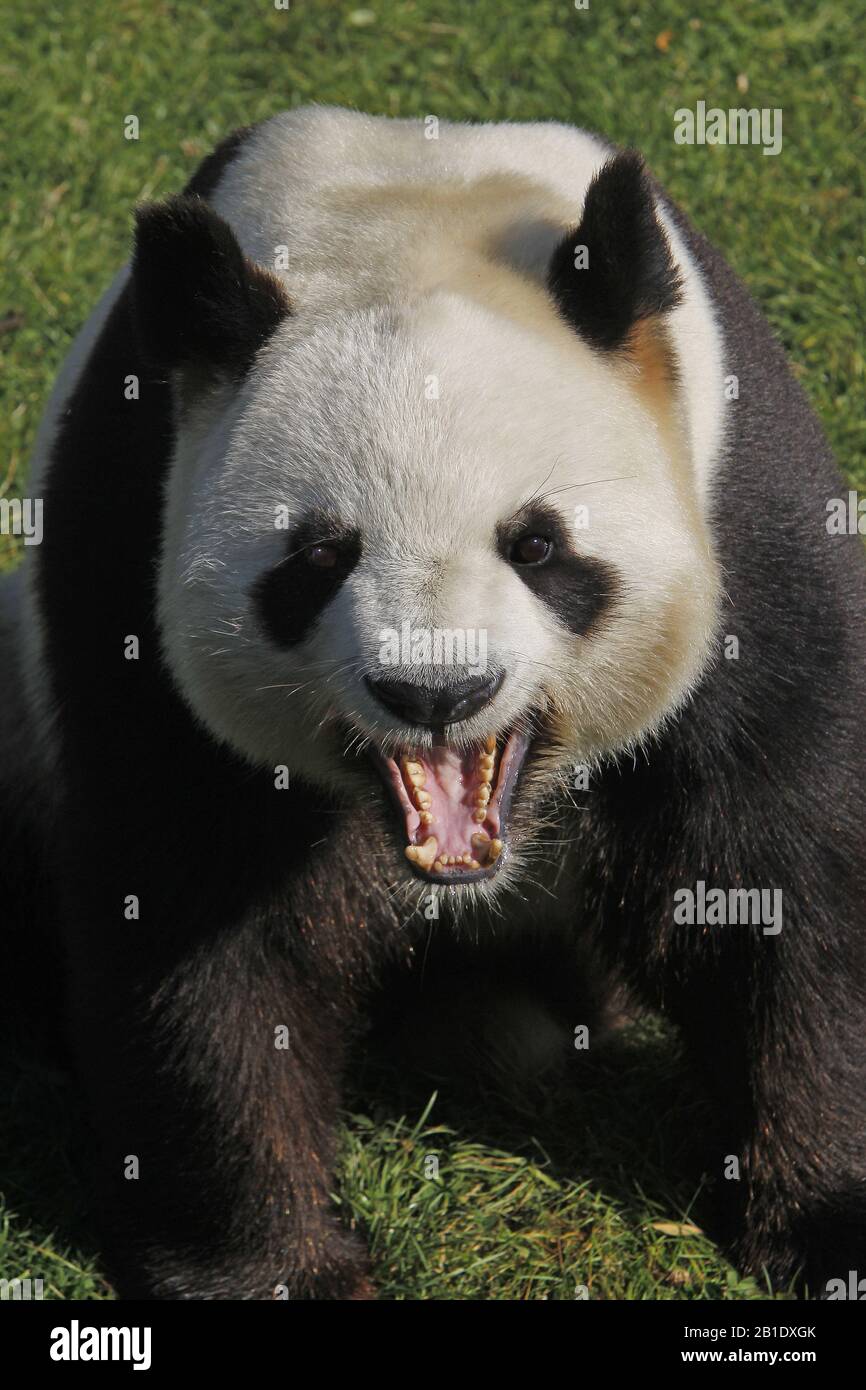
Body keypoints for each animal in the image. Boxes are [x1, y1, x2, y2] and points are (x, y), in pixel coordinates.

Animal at [2, 105, 865, 1300]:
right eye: (318, 557)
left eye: (537, 545)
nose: (436, 690)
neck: (410, 216)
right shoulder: (133, 529)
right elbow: (194, 908)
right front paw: (269, 1267)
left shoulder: (737, 508)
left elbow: (771, 865)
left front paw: (823, 1219)